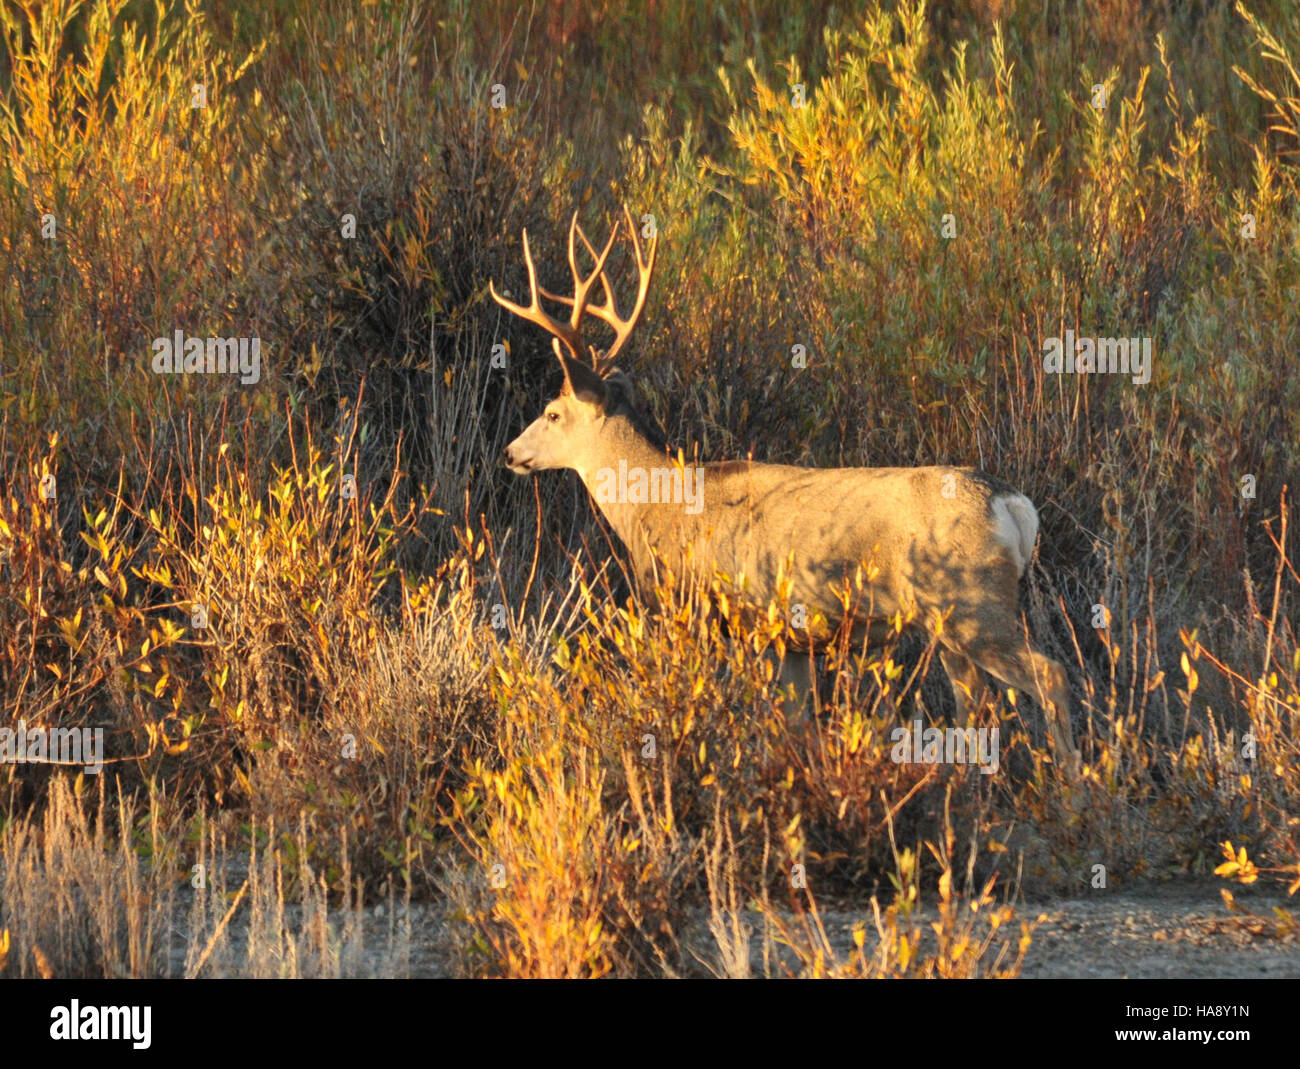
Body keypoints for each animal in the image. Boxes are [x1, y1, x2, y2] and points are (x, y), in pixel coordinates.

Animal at [490, 207, 1078, 767]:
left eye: (553, 413)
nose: (510, 452)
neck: (655, 504)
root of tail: (1014, 506)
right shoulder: (790, 640)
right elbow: (797, 724)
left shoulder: (699, 610)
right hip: (950, 622)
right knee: (974, 701)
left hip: (973, 603)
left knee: (1049, 676)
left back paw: (1072, 788)